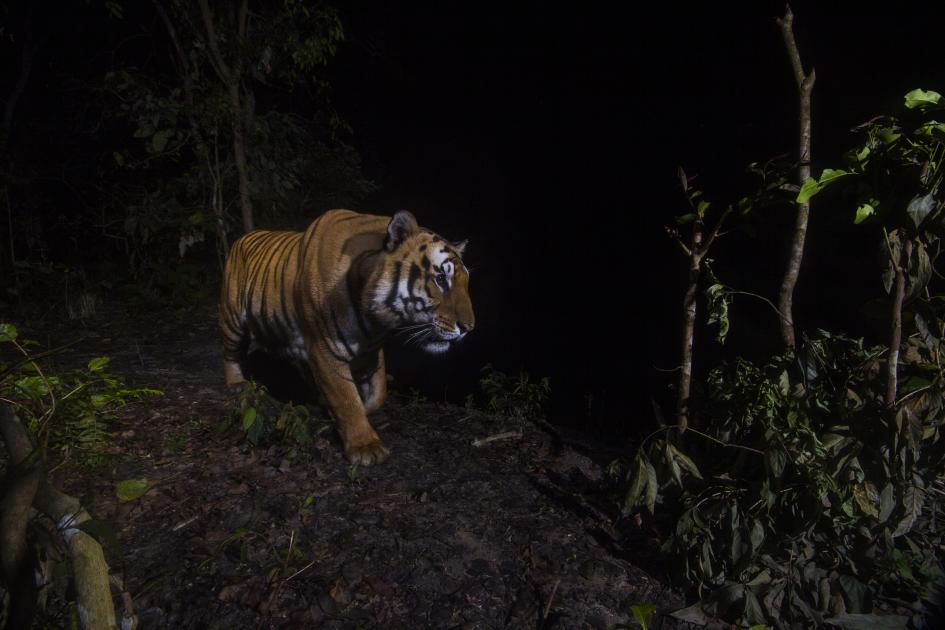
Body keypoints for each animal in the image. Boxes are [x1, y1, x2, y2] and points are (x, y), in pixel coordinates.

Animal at [220, 209, 474, 465]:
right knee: (229, 353)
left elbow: (378, 392)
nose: (469, 328)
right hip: (233, 319)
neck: (375, 319)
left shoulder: (370, 350)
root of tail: (243, 236)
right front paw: (365, 447)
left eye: (466, 282)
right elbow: (345, 398)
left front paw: (361, 411)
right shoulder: (324, 347)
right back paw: (236, 383)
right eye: (440, 279)